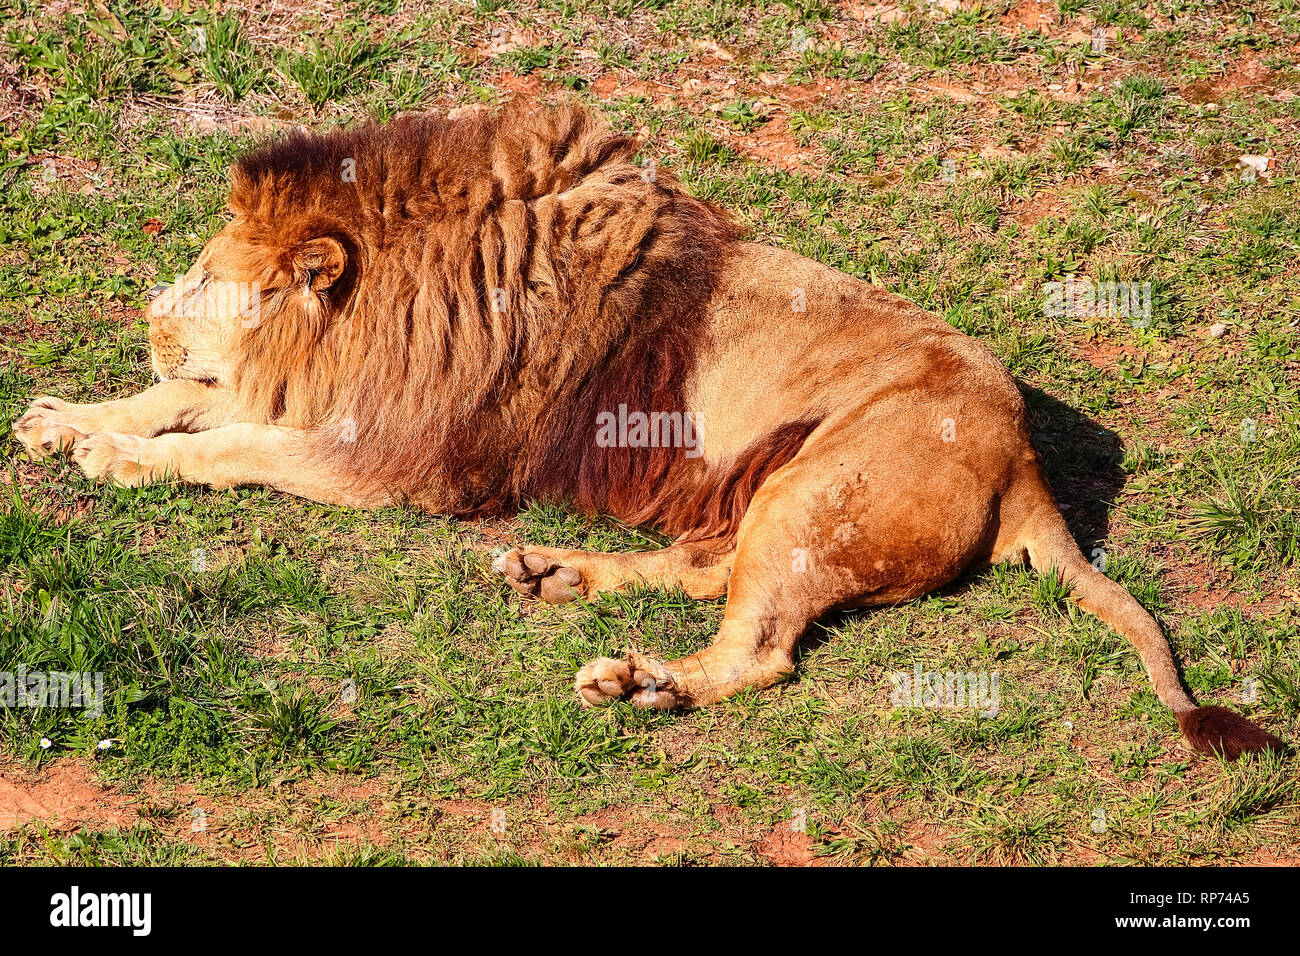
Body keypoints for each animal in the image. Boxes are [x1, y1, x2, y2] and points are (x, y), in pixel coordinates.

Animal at [12, 101, 1283, 760]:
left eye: (197, 278)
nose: (145, 317)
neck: (392, 300)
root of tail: (1026, 464)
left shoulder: (398, 458)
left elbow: (226, 440)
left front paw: (117, 451)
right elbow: (194, 403)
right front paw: (69, 417)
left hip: (820, 485)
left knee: (759, 644)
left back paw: (644, 682)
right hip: (769, 493)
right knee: (706, 570)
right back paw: (553, 573)